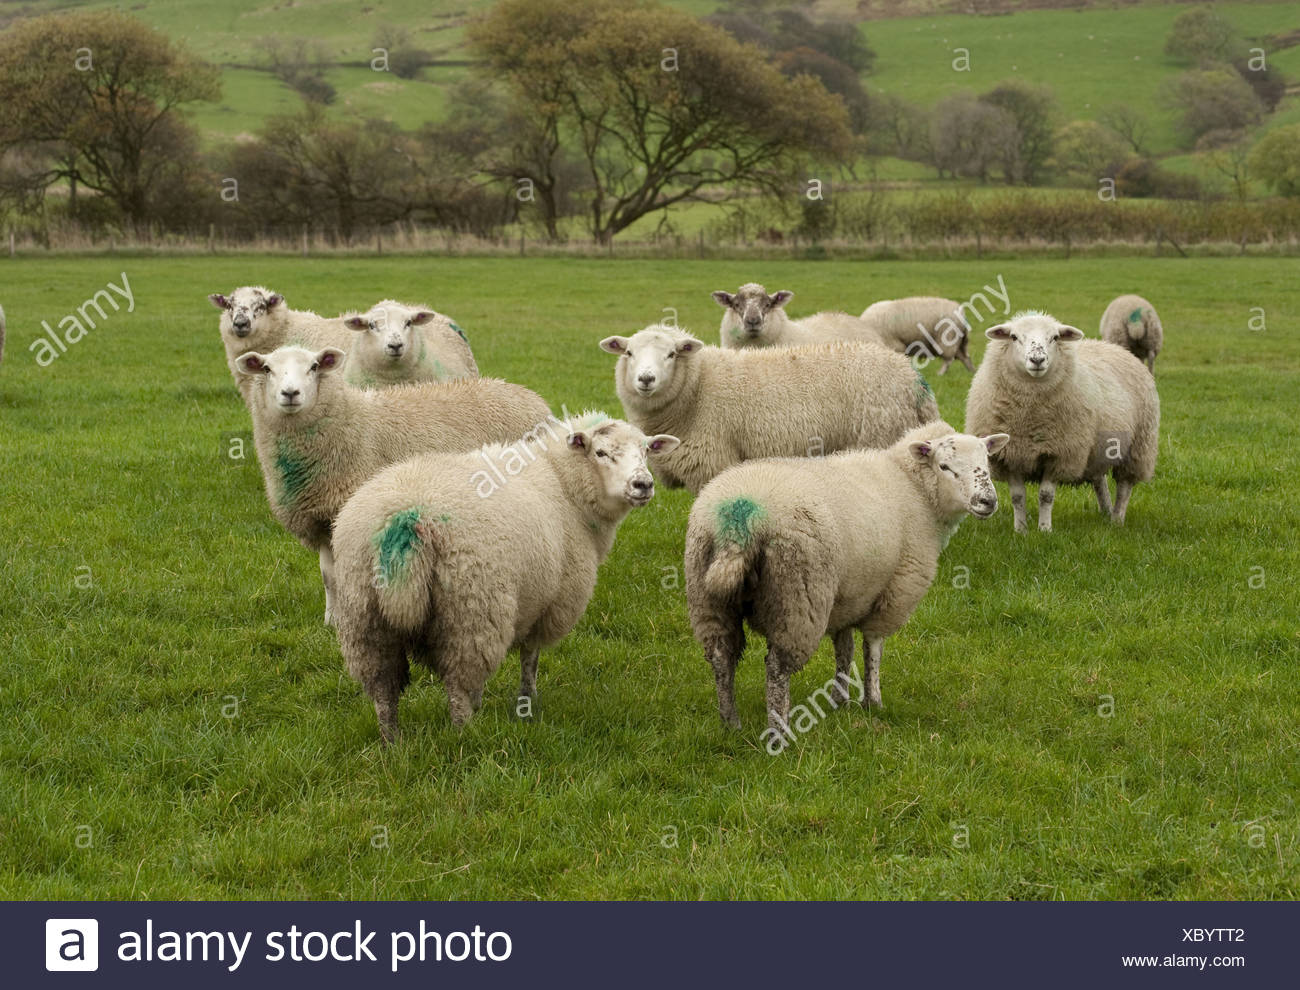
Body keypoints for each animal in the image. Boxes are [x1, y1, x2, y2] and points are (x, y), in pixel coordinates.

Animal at [233, 344, 552, 625]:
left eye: (313, 367)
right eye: (267, 368)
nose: (290, 393)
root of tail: (528, 395)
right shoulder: (322, 520)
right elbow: (328, 576)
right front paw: (330, 621)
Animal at [330, 414, 681, 741]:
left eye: (646, 451)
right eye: (601, 452)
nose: (643, 485)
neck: (563, 483)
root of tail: (405, 522)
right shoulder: (548, 603)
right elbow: (530, 658)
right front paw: (528, 699)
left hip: (363, 615)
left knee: (383, 689)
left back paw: (393, 742)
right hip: (472, 610)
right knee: (458, 686)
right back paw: (465, 735)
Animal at [598, 324, 941, 494]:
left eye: (671, 354)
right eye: (628, 353)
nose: (646, 379)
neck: (697, 387)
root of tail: (912, 378)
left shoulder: (714, 462)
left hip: (879, 436)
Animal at [685, 421, 1009, 746]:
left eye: (986, 463)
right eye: (945, 466)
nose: (987, 501)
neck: (913, 487)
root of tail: (739, 522)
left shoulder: (849, 594)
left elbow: (845, 647)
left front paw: (839, 699)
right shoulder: (897, 589)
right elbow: (873, 646)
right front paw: (873, 701)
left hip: (708, 598)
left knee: (721, 657)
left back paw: (730, 723)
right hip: (798, 595)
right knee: (777, 668)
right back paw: (780, 734)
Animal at [964, 310, 1159, 532]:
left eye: (1055, 337)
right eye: (1014, 337)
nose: (1037, 359)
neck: (1028, 415)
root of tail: (1112, 346)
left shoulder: (1059, 454)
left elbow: (1046, 496)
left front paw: (1044, 529)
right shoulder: (1009, 456)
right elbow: (1017, 497)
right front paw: (1021, 530)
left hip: (1138, 446)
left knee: (1125, 486)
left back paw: (1117, 519)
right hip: (1096, 450)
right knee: (1099, 480)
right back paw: (1106, 511)